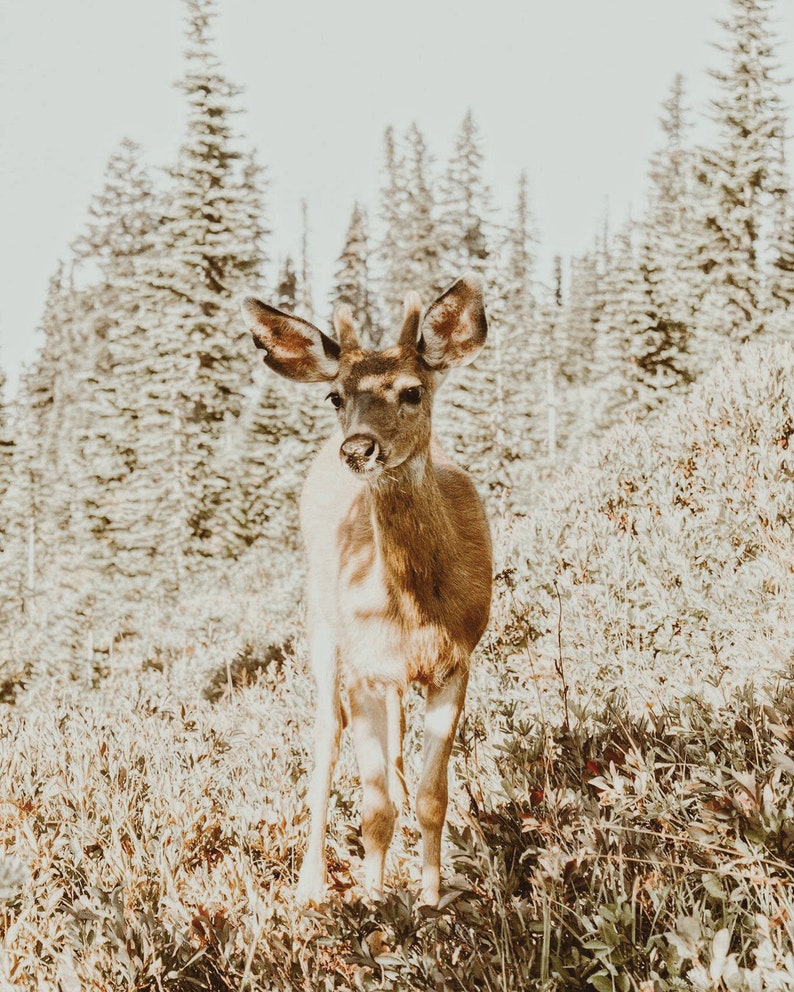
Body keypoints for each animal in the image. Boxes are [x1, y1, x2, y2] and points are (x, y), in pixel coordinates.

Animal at [240, 274, 492, 907]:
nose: (357, 449)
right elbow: (372, 809)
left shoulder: (457, 660)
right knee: (326, 740)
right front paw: (374, 904)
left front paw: (430, 901)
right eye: (335, 396)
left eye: (412, 391)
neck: (417, 607)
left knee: (395, 743)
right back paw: (311, 884)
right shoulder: (362, 671)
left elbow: (432, 798)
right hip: (323, 630)